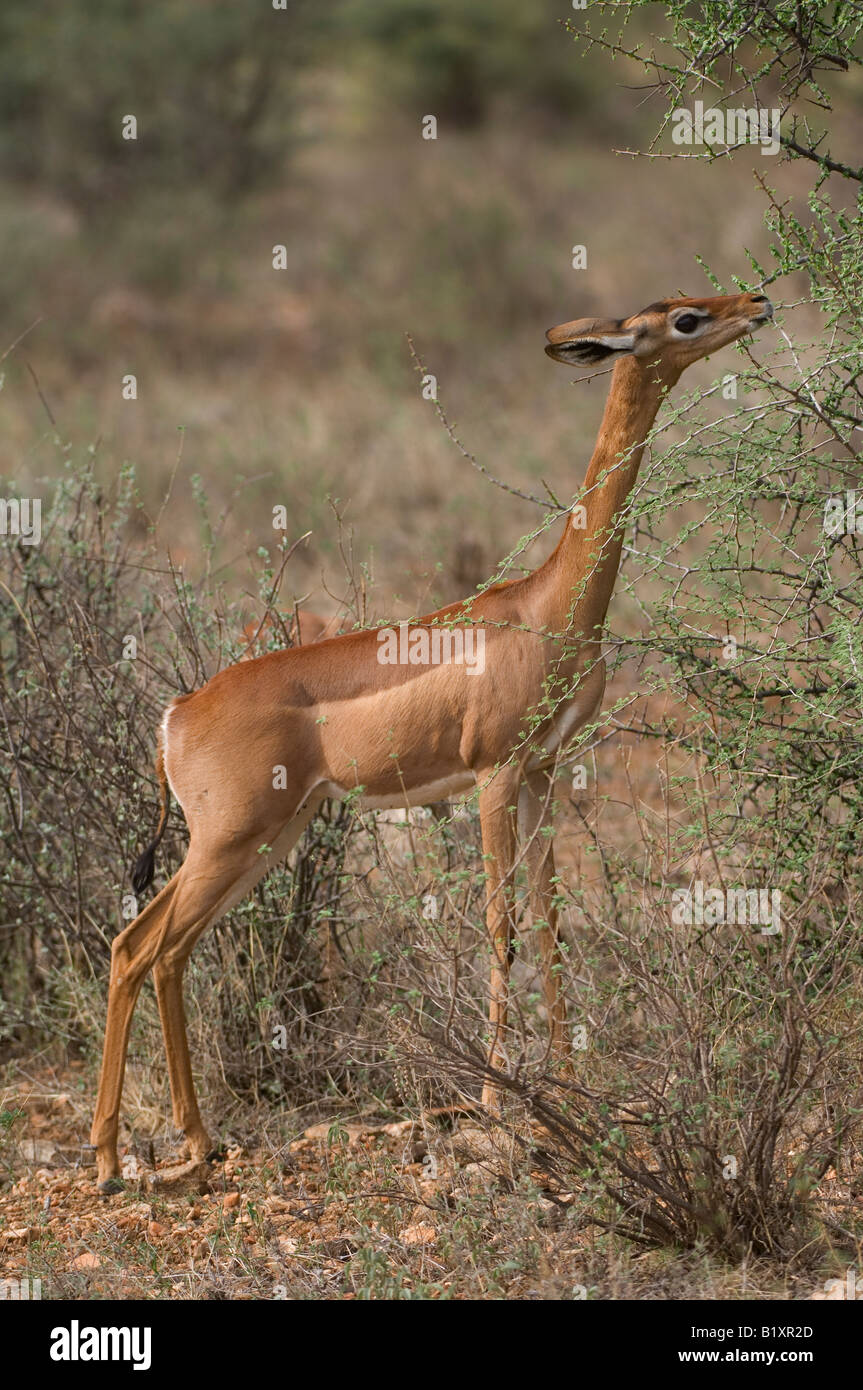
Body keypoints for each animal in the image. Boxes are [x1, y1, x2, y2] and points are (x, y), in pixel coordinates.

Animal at [91, 291, 773, 1190]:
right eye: (684, 319)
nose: (758, 301)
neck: (548, 608)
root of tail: (177, 711)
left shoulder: (544, 772)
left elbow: (551, 924)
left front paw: (570, 1089)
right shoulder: (492, 774)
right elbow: (500, 925)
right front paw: (491, 1104)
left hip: (265, 840)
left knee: (151, 949)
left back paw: (166, 1147)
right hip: (231, 840)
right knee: (146, 947)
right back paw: (138, 1154)